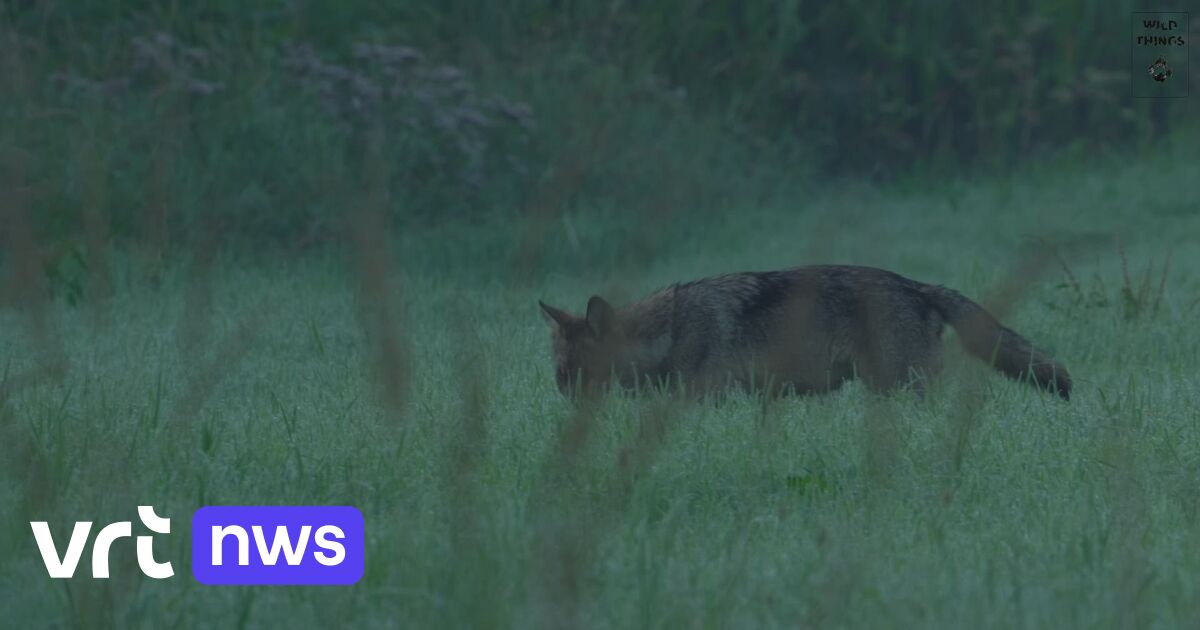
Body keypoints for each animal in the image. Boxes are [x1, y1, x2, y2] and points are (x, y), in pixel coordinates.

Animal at [538, 265, 1071, 400]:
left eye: (573, 375)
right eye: (559, 376)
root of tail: (917, 286)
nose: (567, 409)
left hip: (900, 387)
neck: (670, 328)